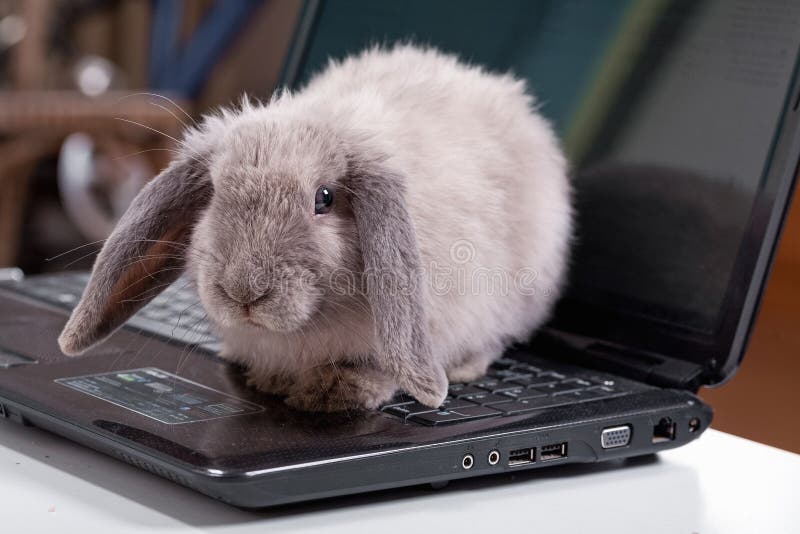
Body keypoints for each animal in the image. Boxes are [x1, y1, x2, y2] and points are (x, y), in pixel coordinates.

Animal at [58, 45, 573, 413]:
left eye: (324, 198)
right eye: (215, 193)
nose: (245, 293)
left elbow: (381, 371)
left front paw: (332, 393)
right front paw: (271, 381)